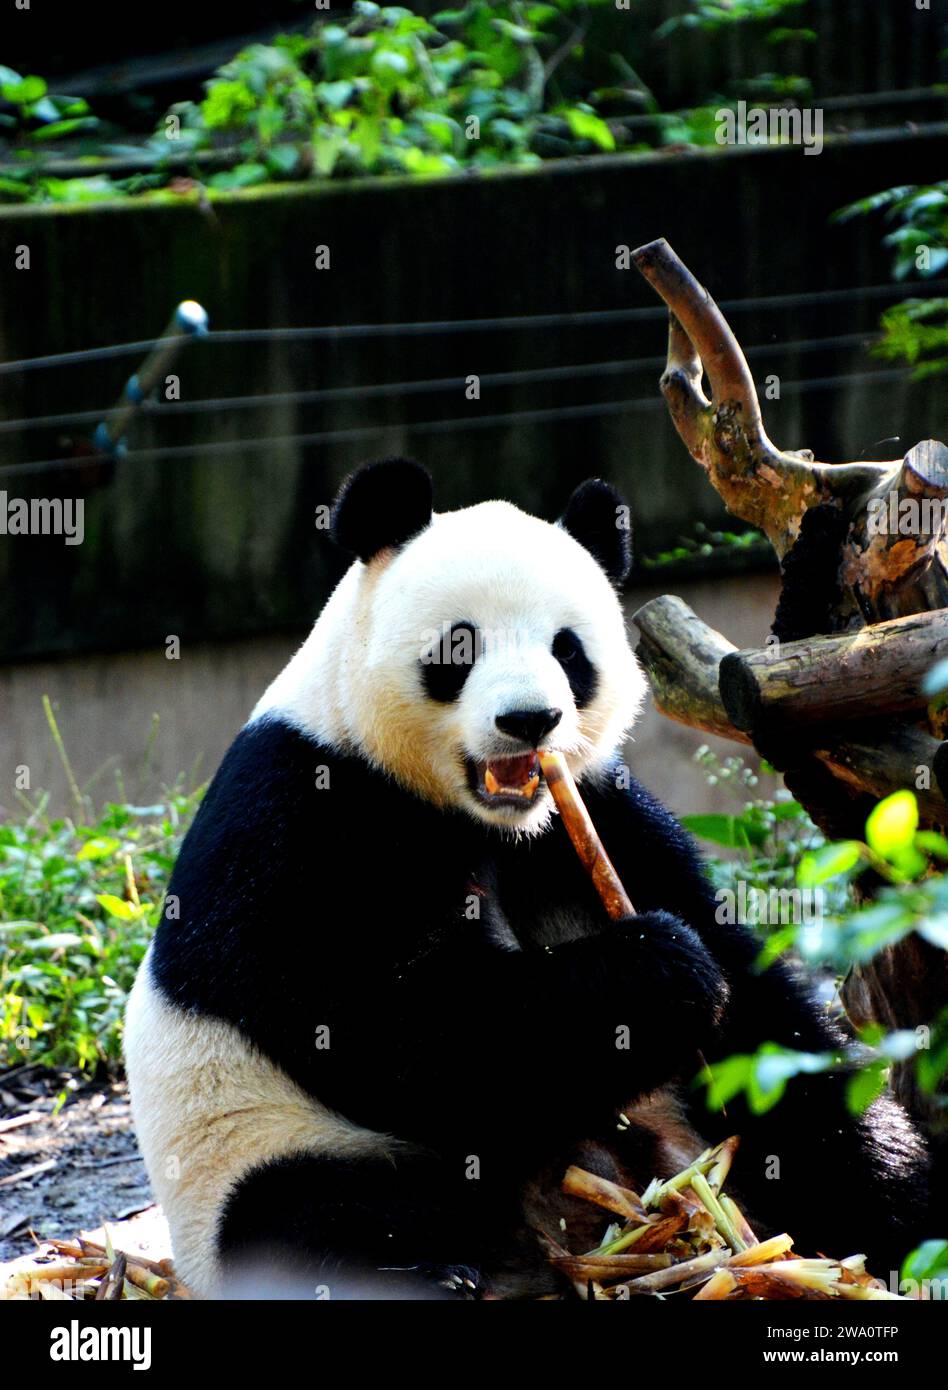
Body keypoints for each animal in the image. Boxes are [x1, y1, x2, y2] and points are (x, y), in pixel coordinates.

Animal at [124, 458, 930, 1299]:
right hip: (260, 1153)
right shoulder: (304, 815)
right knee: (309, 1211)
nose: (529, 720)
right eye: (459, 645)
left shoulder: (596, 813)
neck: (484, 817)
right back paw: (439, 1268)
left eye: (568, 651)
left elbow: (760, 1007)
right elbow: (390, 1026)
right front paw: (657, 971)